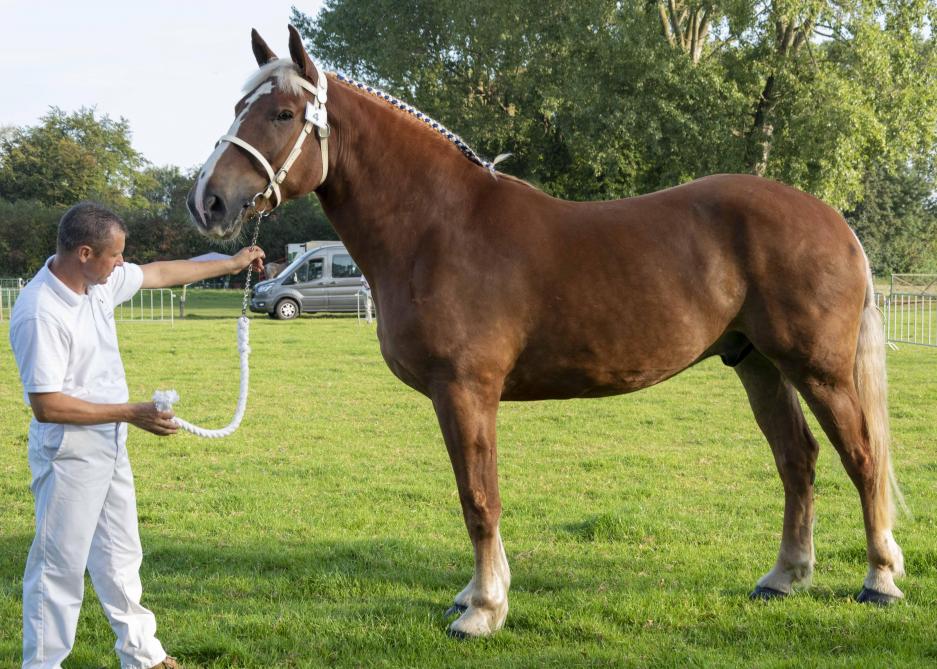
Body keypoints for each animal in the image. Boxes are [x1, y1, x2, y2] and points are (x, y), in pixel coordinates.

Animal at [186, 26, 905, 637]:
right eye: (237, 106)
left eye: (282, 114)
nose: (208, 201)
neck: (437, 227)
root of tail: (831, 220)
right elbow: (474, 495)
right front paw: (476, 595)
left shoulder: (465, 390)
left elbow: (478, 497)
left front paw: (482, 608)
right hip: (757, 362)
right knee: (797, 459)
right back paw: (784, 577)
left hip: (817, 369)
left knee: (862, 457)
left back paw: (879, 579)